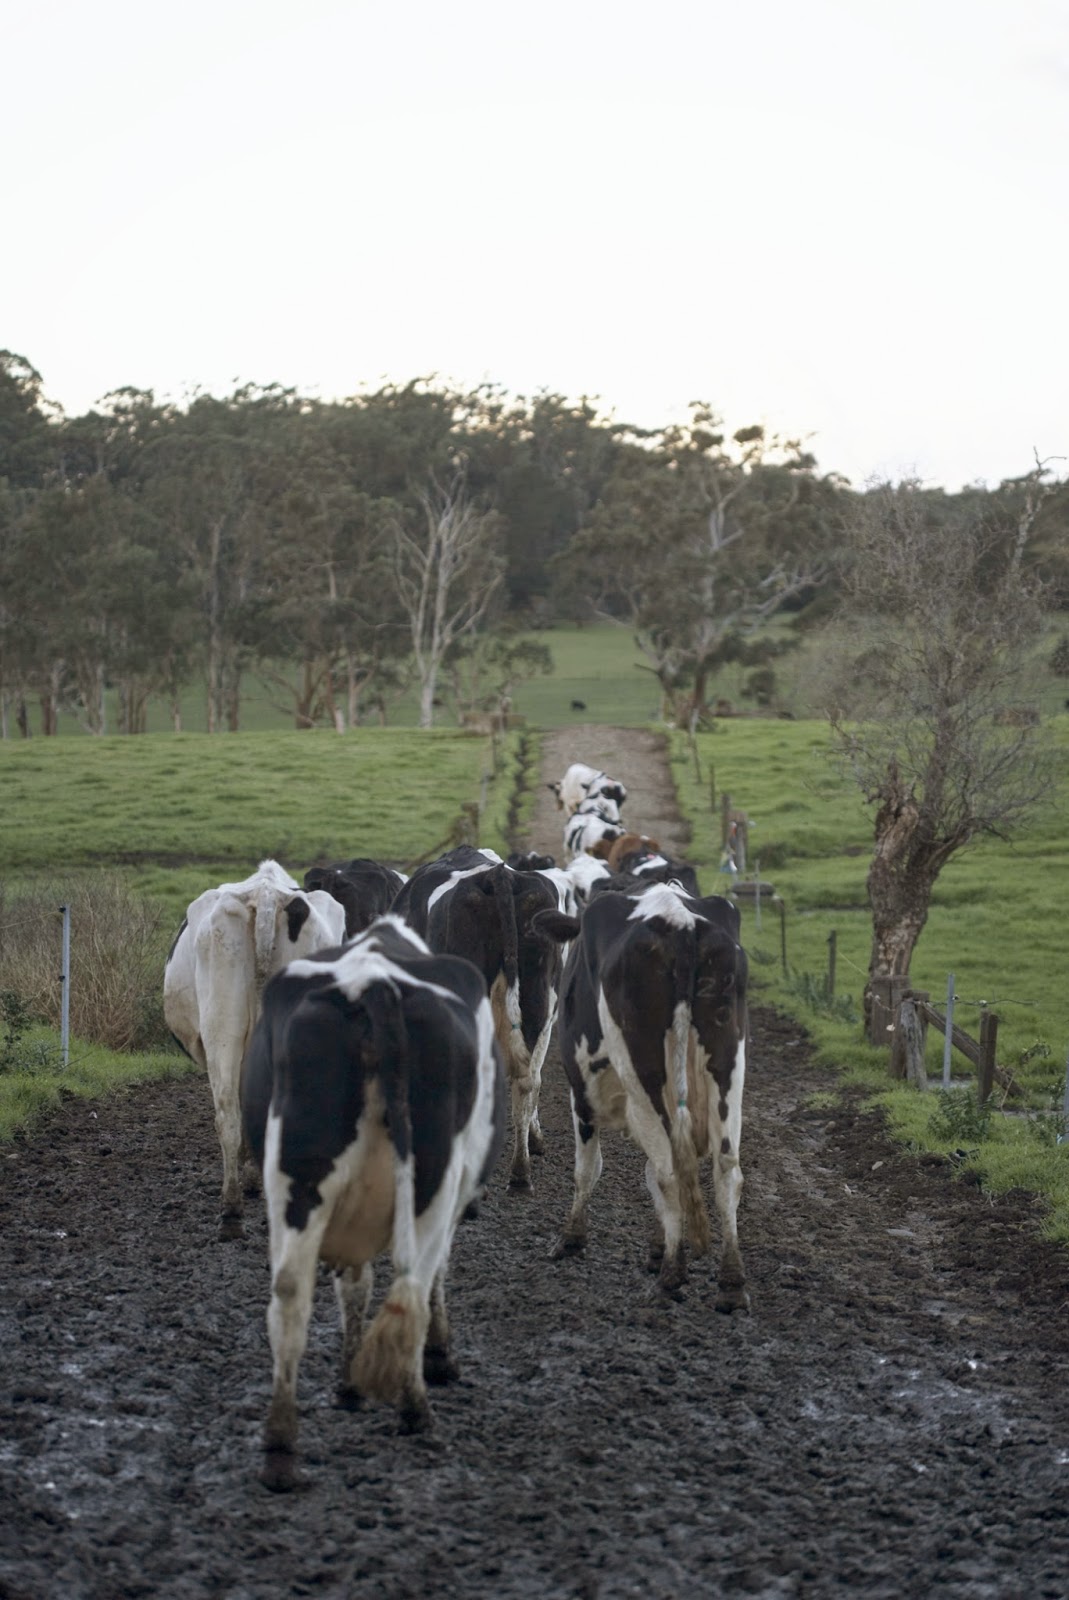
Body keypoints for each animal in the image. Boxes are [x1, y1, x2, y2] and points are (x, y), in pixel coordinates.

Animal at [241, 916, 507, 1490]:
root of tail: (374, 986)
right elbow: (432, 1279)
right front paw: (440, 1360)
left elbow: (354, 1288)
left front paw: (347, 1383)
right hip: (433, 1178)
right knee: (413, 1283)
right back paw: (415, 1409)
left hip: (298, 1175)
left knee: (290, 1293)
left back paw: (280, 1446)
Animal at [536, 881, 749, 1309]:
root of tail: (679, 921)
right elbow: (650, 1174)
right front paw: (657, 1246)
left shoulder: (582, 1093)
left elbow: (588, 1168)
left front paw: (571, 1238)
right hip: (728, 1069)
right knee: (725, 1171)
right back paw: (731, 1282)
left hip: (646, 1077)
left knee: (670, 1170)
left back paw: (671, 1277)